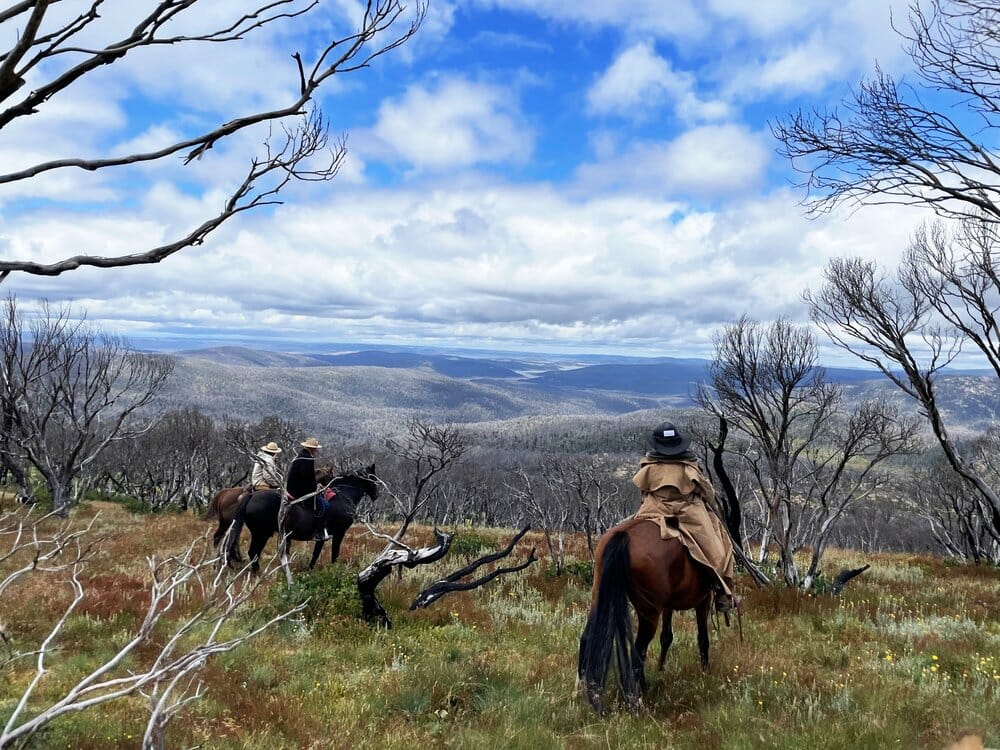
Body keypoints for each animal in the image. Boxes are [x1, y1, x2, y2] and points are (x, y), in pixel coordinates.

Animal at [577, 517, 714, 713]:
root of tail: (623, 536)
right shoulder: (704, 598)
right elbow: (702, 638)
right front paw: (705, 674)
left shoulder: (668, 604)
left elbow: (666, 636)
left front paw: (660, 668)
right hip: (649, 613)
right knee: (637, 652)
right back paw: (640, 696)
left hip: (600, 596)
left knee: (587, 638)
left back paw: (584, 691)